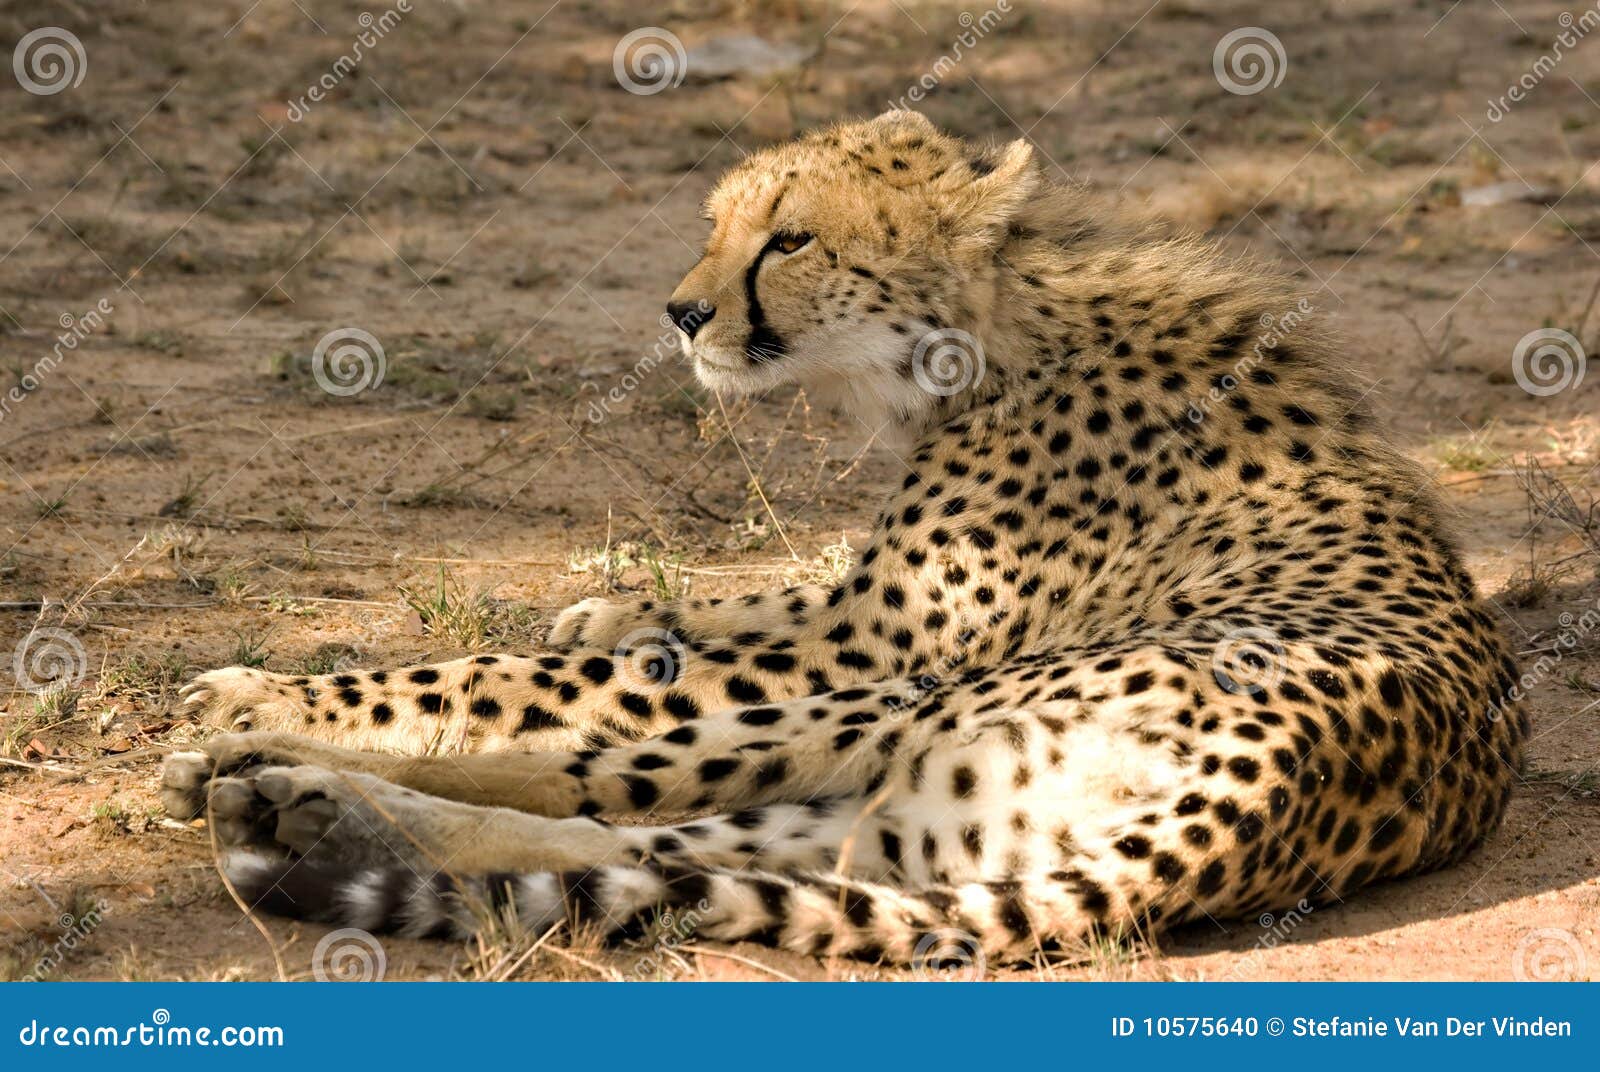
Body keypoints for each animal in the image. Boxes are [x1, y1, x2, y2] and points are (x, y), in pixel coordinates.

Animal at [160, 110, 1526, 969]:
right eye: (718, 222)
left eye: (792, 236)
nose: (682, 312)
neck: (995, 335)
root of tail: (1268, 792)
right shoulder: (855, 615)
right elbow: (704, 613)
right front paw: (612, 601)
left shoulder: (873, 647)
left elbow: (523, 679)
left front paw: (259, 694)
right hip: (911, 820)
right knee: (631, 839)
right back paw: (308, 809)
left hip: (903, 714)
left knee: (592, 778)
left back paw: (261, 765)